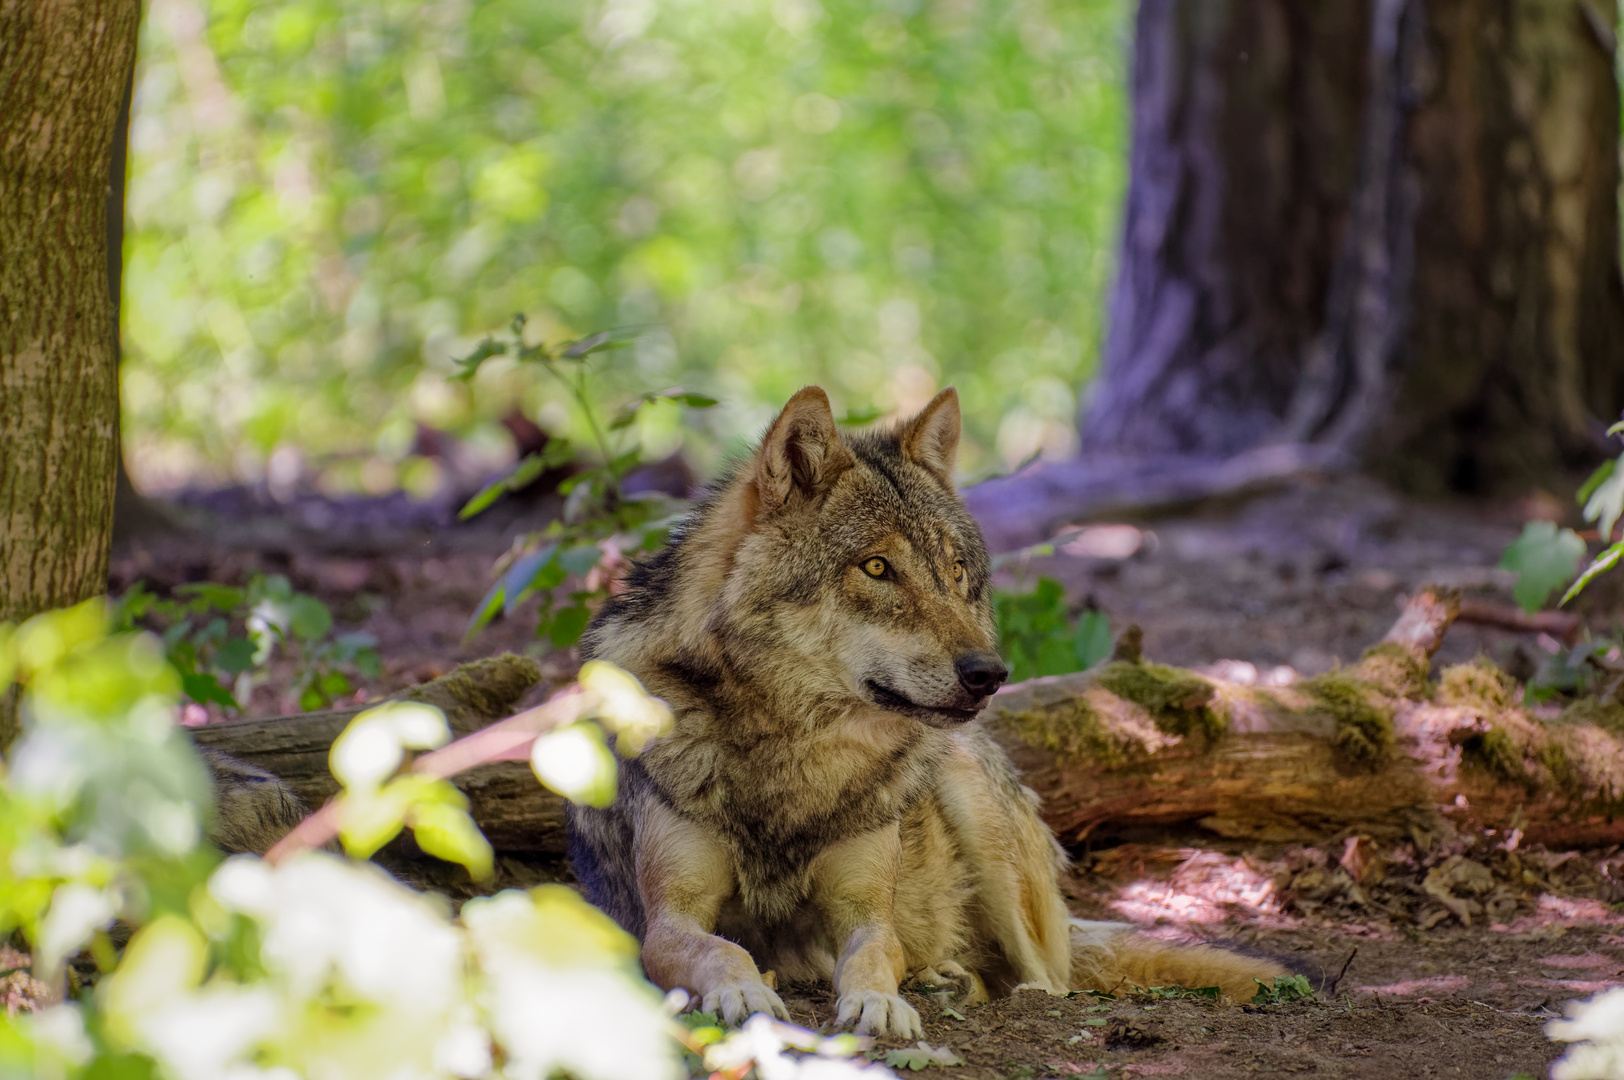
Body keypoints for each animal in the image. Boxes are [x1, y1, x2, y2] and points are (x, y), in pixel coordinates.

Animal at [569, 386, 1286, 1037]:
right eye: (876, 567)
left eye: (956, 570)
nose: (990, 674)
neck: (797, 750)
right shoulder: (667, 919)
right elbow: (721, 949)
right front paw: (745, 993)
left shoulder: (866, 910)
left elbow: (874, 957)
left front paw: (880, 1004)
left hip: (965, 789)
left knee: (1045, 978)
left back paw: (962, 982)